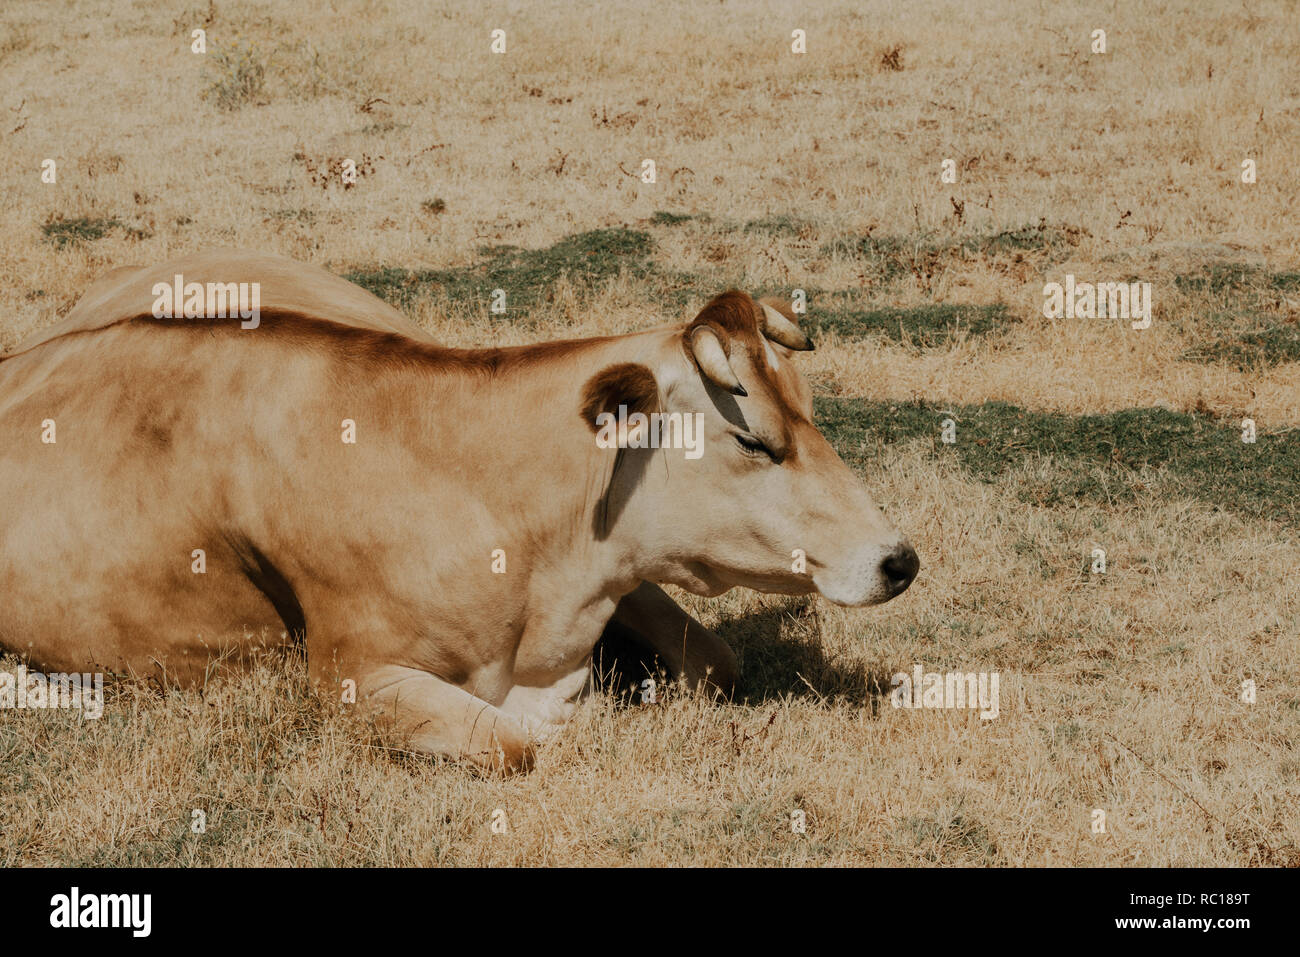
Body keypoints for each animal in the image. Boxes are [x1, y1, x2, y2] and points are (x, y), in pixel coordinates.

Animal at [0, 249, 918, 772]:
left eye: (811, 411)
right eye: (756, 440)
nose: (898, 559)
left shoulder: (621, 572)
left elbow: (718, 662)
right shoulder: (350, 673)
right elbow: (512, 745)